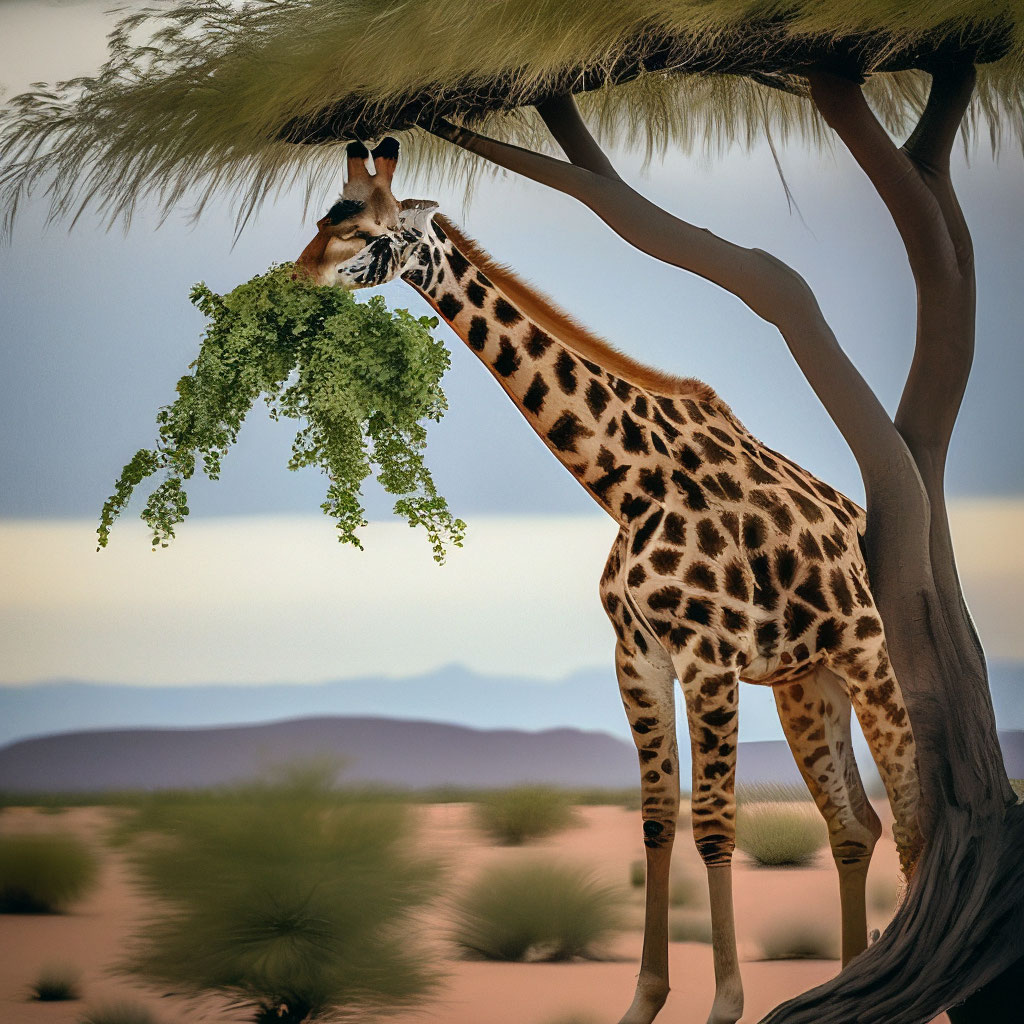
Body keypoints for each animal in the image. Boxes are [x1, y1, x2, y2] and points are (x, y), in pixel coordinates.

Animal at [296, 138, 923, 1024]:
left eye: (372, 230)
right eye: (323, 216)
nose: (296, 277)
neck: (626, 481)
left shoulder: (707, 657)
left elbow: (714, 822)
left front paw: (725, 1004)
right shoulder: (638, 656)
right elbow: (658, 820)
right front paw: (644, 1001)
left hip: (869, 660)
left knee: (911, 818)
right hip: (806, 684)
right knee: (853, 825)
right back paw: (845, 978)